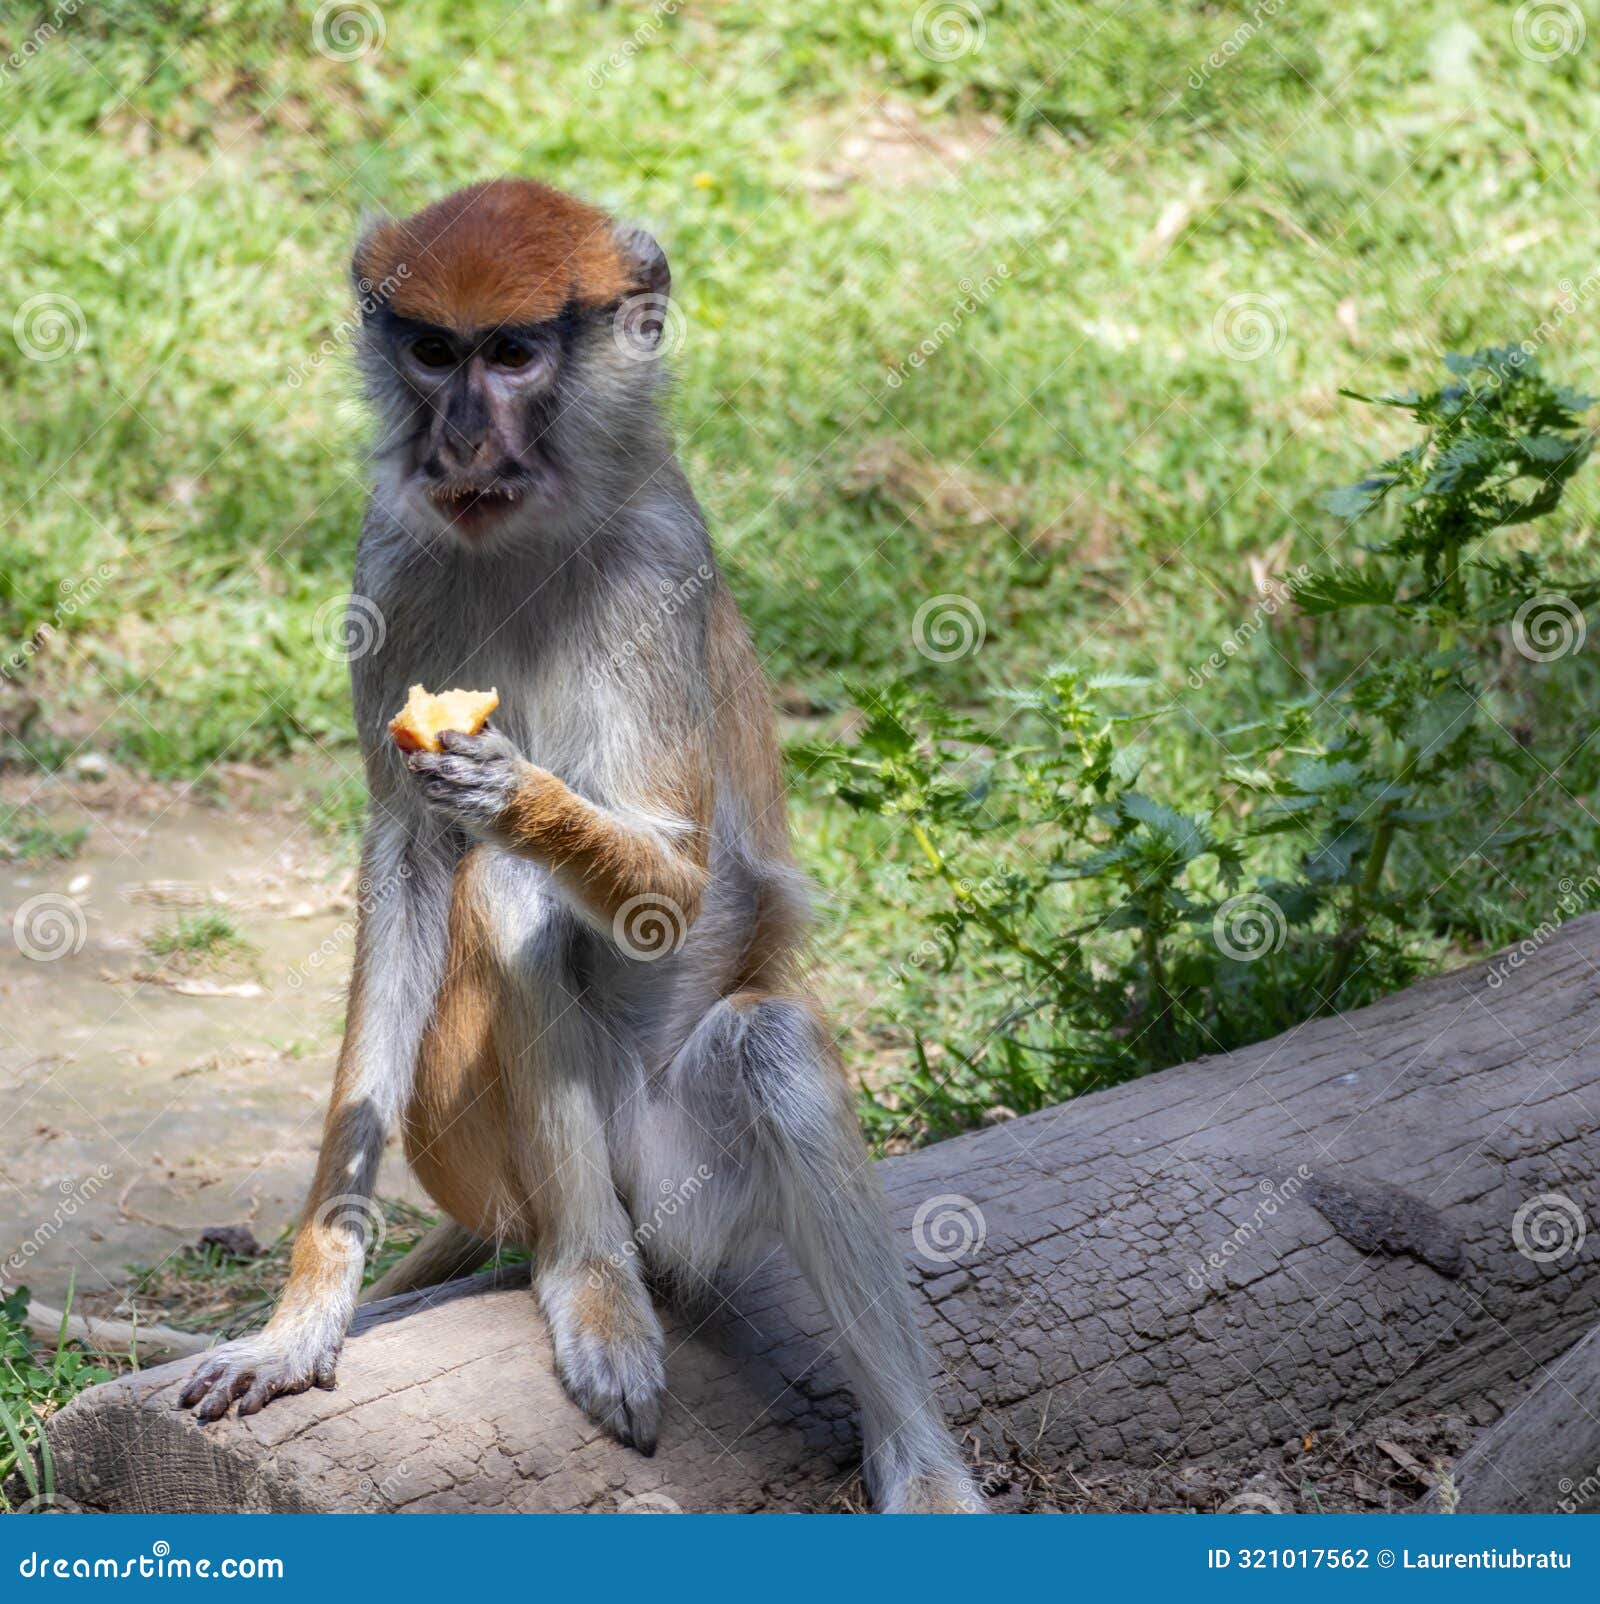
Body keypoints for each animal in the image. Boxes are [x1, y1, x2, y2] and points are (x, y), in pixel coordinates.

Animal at [177, 178, 984, 1514]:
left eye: (511, 355)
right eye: (432, 350)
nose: (456, 441)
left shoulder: (658, 565)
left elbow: (672, 881)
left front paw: (515, 793)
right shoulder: (390, 556)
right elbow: (409, 860)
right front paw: (303, 1312)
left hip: (693, 1189)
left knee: (761, 1042)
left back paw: (918, 1468)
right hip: (477, 1145)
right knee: (508, 911)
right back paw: (591, 1280)